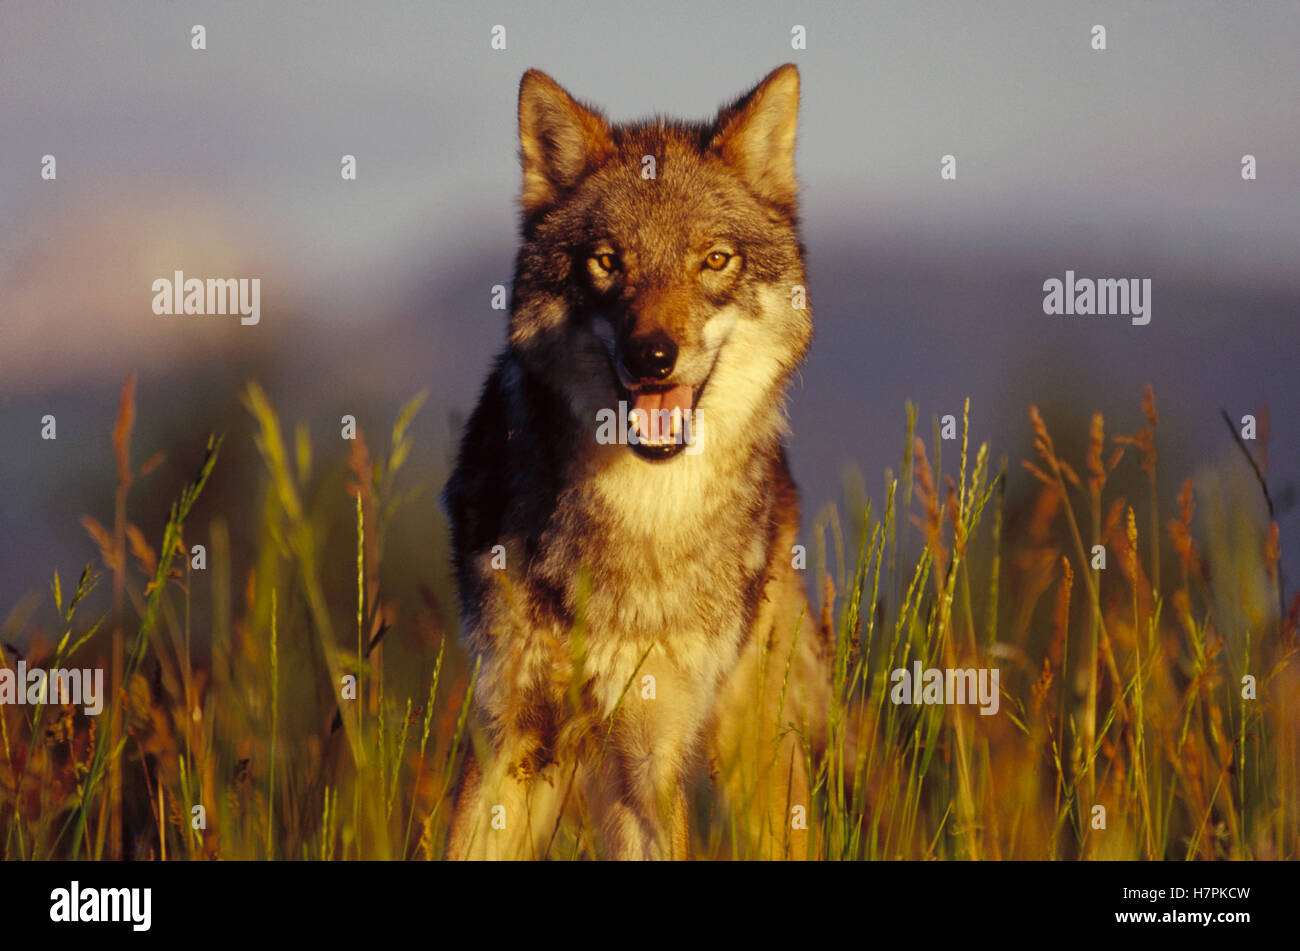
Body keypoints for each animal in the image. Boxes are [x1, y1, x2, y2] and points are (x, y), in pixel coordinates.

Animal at [442, 63, 830, 860]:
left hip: (760, 766)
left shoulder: (649, 756)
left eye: (714, 259)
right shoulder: (508, 738)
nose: (652, 357)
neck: (640, 521)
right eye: (607, 261)